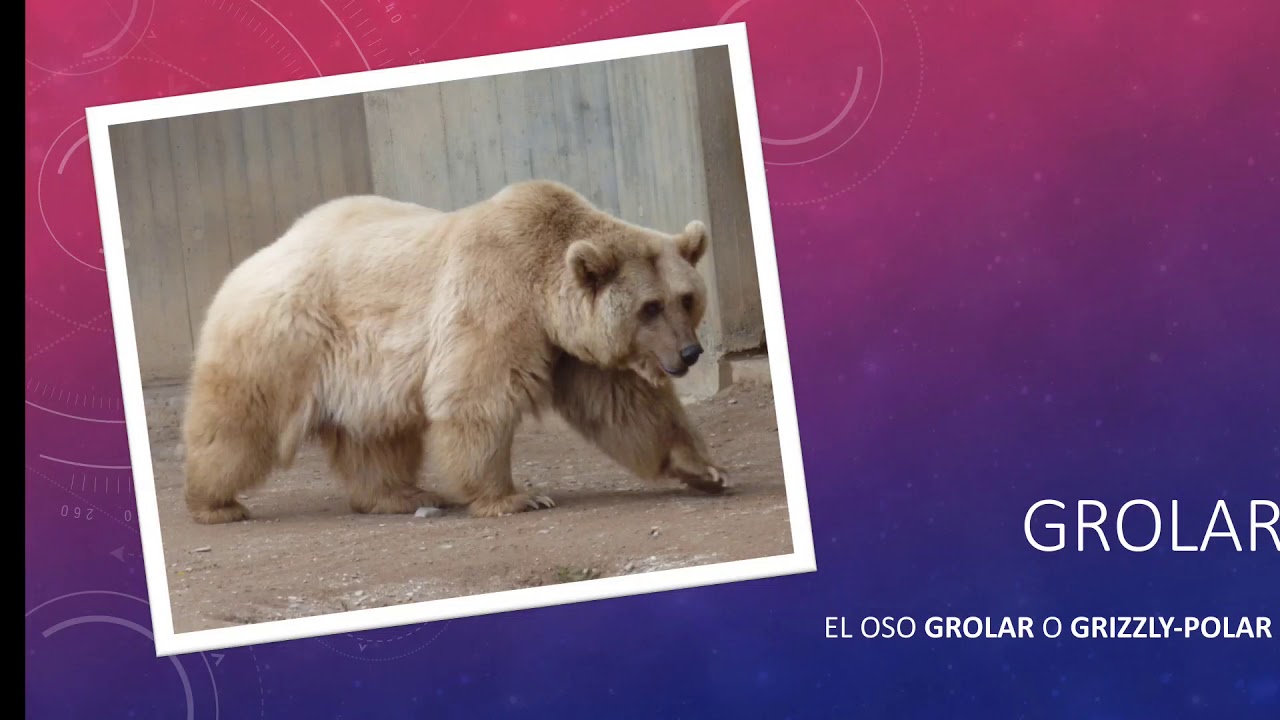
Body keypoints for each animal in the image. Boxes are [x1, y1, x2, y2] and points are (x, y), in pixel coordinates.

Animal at [181, 179, 730, 524]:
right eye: (650, 307)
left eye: (686, 298)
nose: (690, 352)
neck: (543, 287)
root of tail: (253, 259)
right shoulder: (496, 299)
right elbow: (479, 396)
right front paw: (517, 496)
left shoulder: (570, 347)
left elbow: (627, 406)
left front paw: (705, 469)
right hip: (286, 338)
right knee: (240, 419)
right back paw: (214, 502)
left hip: (364, 369)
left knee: (375, 436)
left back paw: (402, 493)